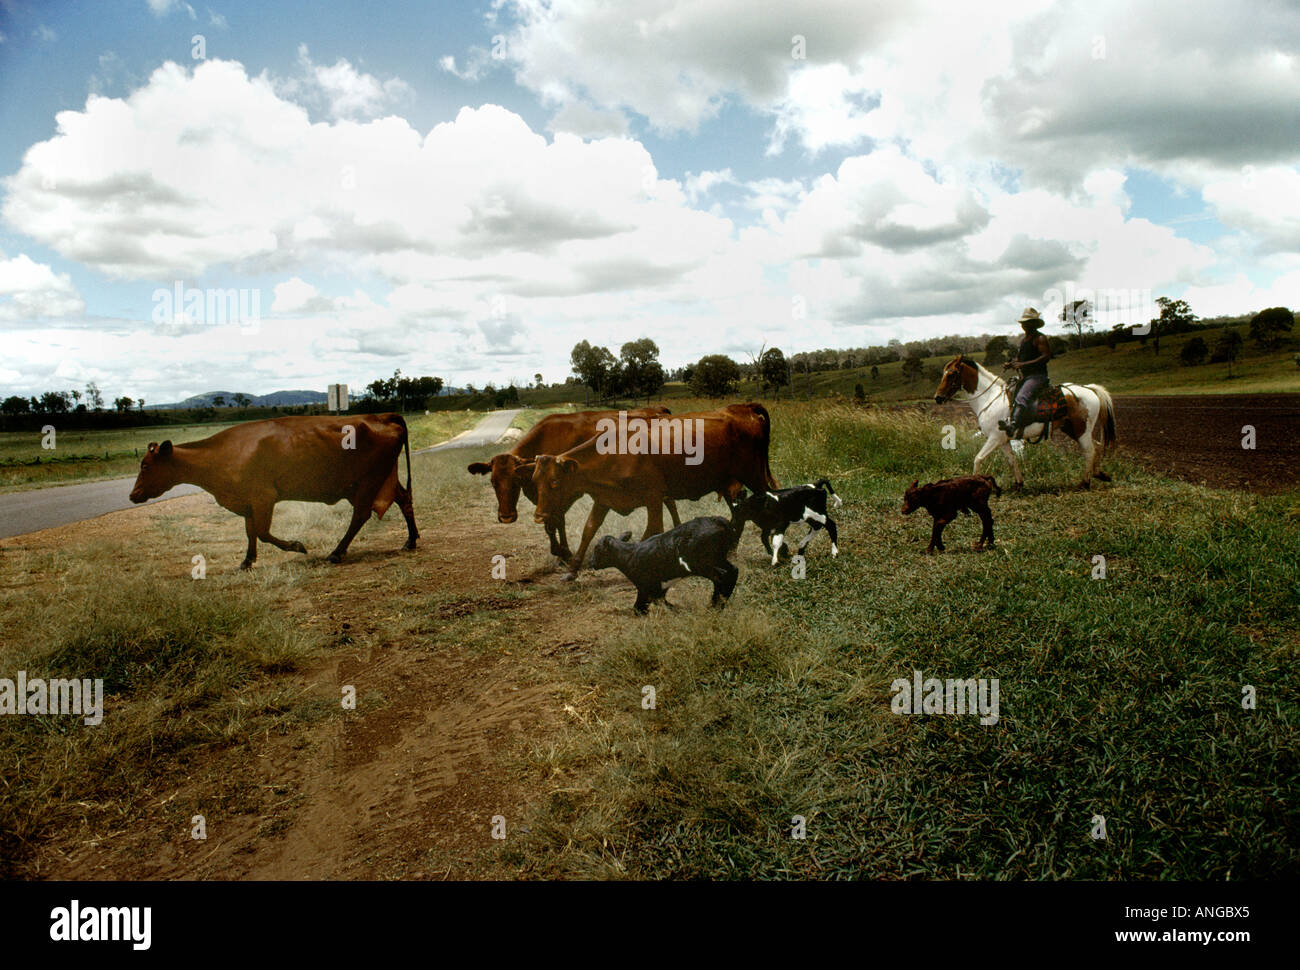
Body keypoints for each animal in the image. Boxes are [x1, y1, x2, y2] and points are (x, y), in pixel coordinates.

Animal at [128, 413, 417, 569]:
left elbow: (263, 532)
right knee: (404, 499)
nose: (132, 495)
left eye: (145, 465)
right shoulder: (247, 503)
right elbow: (250, 532)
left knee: (360, 515)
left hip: (368, 482)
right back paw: (411, 540)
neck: (222, 455)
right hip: (379, 481)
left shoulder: (263, 498)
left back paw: (336, 553)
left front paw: (297, 546)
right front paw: (247, 561)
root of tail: (380, 416)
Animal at [467, 408, 680, 562]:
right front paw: (560, 552)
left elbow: (556, 521)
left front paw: (563, 552)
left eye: (516, 481)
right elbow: (550, 524)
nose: (506, 517)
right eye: (493, 482)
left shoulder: (564, 494)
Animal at [531, 403, 777, 580]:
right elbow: (588, 530)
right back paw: (732, 548)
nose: (539, 516)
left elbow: (652, 531)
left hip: (753, 476)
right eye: (535, 480)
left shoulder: (654, 498)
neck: (616, 451)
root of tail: (743, 408)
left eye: (554, 482)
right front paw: (572, 570)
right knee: (740, 512)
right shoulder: (604, 499)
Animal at [589, 516, 740, 614]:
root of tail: (718, 520)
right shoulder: (658, 590)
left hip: (701, 563)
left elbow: (638, 608)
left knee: (722, 575)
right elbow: (661, 604)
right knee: (733, 571)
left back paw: (715, 607)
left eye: (597, 549)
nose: (591, 562)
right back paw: (718, 605)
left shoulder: (645, 588)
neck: (629, 555)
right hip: (719, 559)